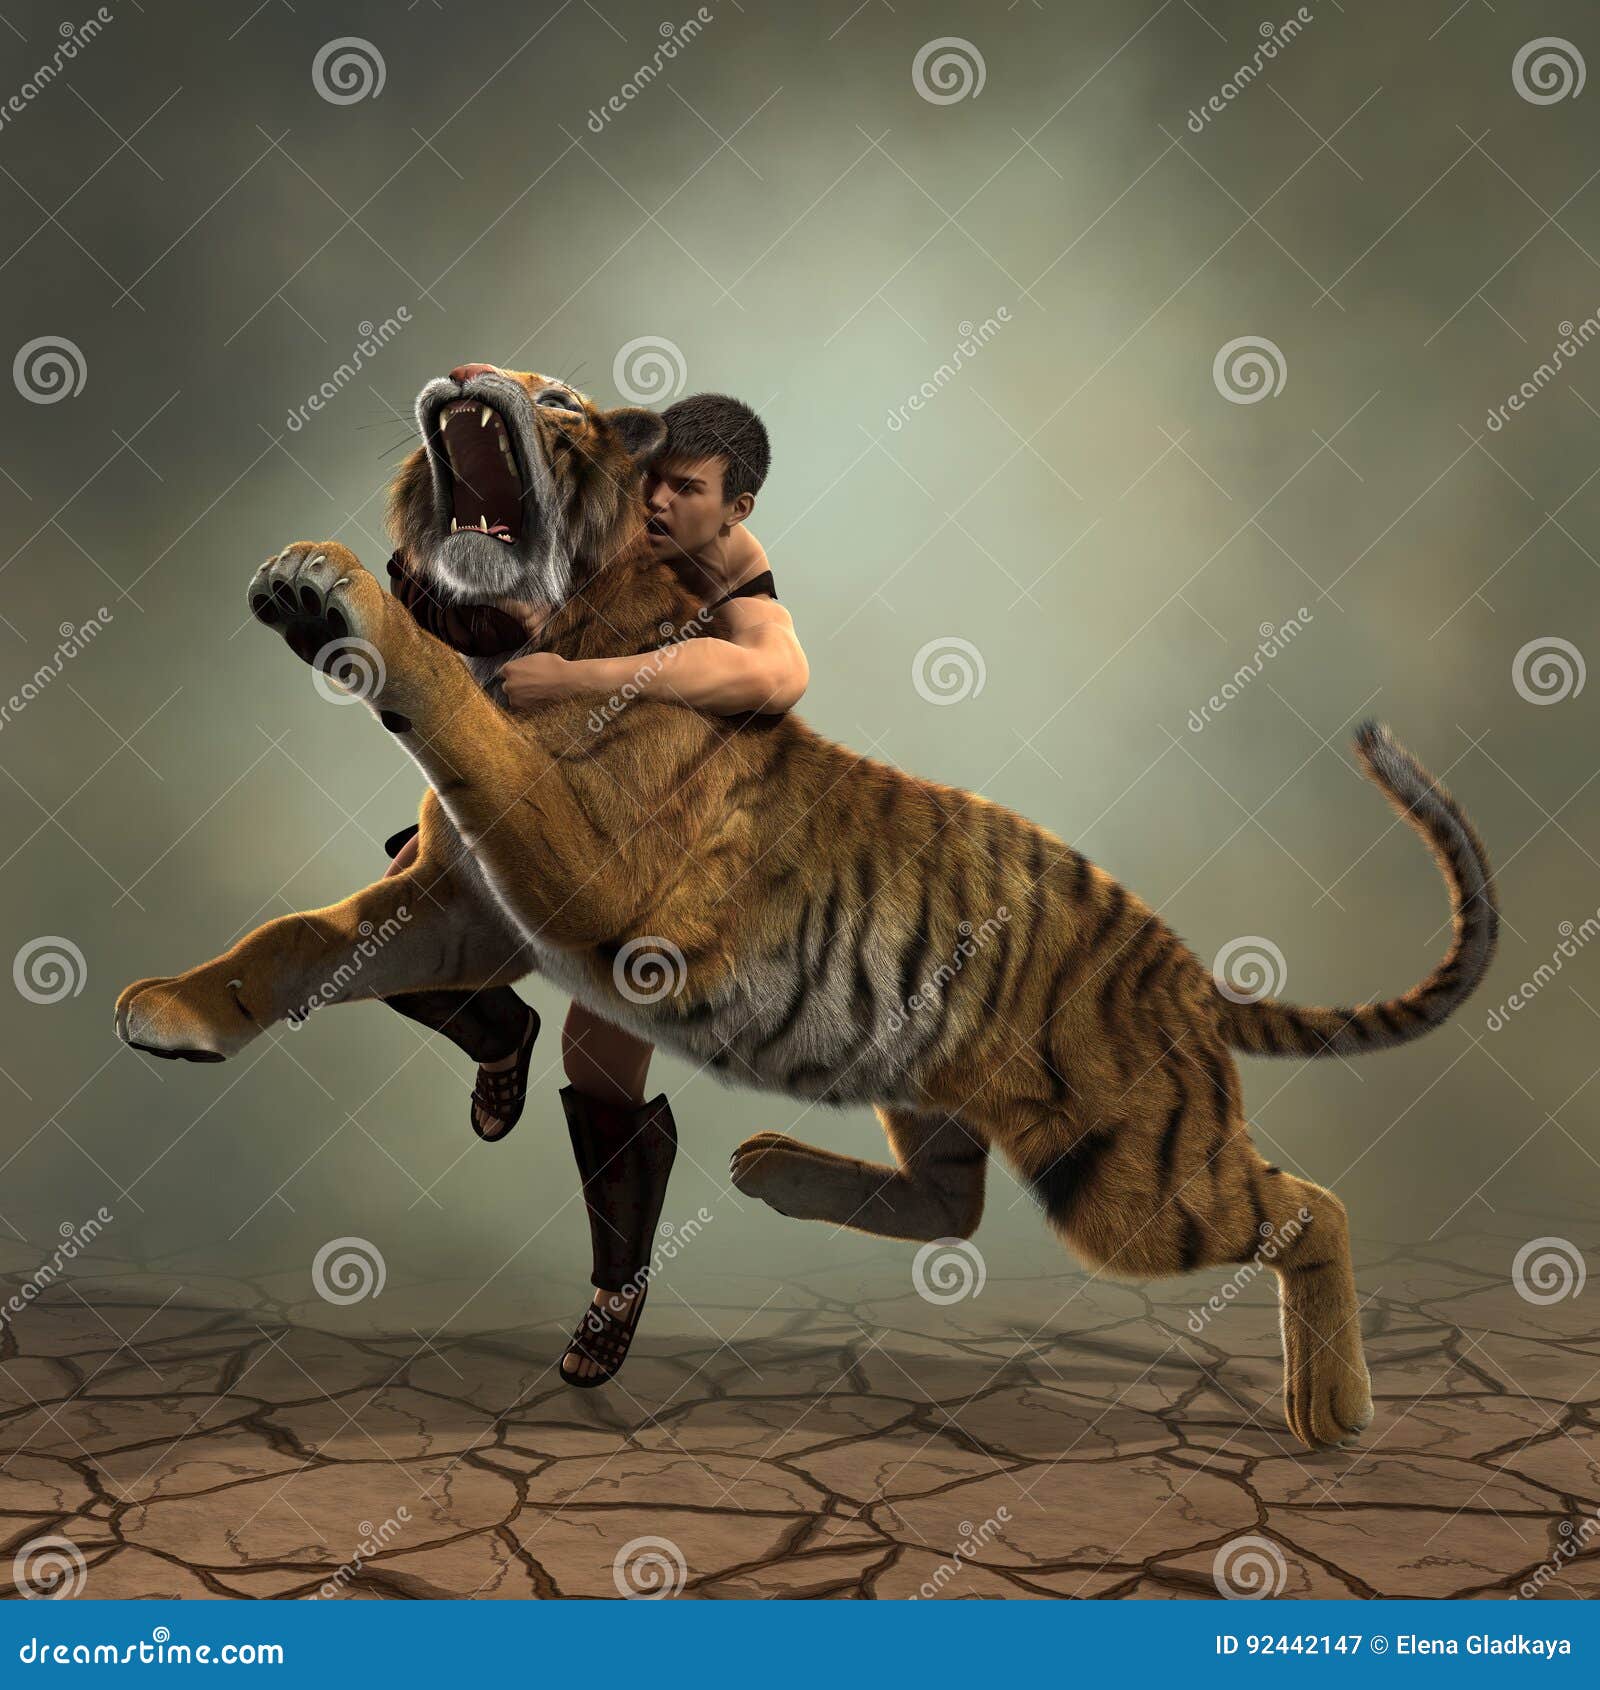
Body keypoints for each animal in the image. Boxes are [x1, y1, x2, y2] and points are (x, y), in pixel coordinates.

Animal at [114, 362, 1500, 1452]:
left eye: (556, 400)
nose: (465, 373)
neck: (535, 618)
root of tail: (1187, 967)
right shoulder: (466, 901)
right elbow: (293, 942)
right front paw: (174, 1008)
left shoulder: (575, 867)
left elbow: (453, 715)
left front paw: (335, 585)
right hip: (935, 1088)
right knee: (950, 1200)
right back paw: (771, 1167)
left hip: (1131, 1179)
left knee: (1308, 1209)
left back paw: (1334, 1408)